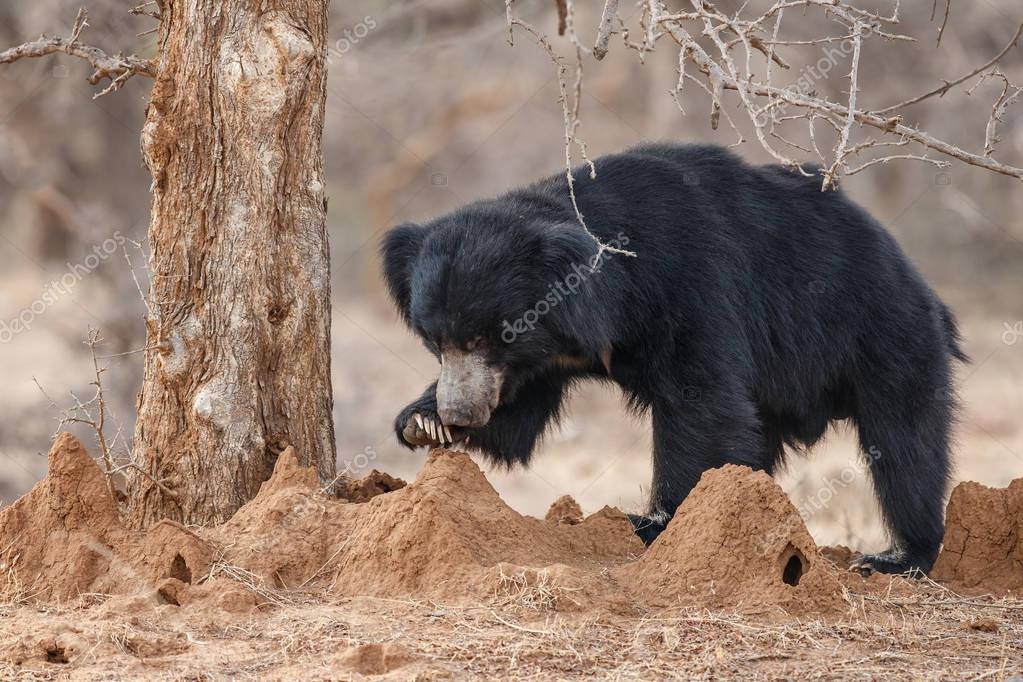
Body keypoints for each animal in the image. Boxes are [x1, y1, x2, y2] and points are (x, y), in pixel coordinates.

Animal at [381, 142, 966, 575]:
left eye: (492, 337)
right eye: (436, 341)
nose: (458, 411)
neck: (603, 302)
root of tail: (918, 280)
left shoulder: (690, 283)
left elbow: (701, 402)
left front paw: (656, 523)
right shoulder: (543, 357)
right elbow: (518, 417)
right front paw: (422, 424)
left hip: (883, 335)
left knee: (905, 444)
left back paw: (899, 557)